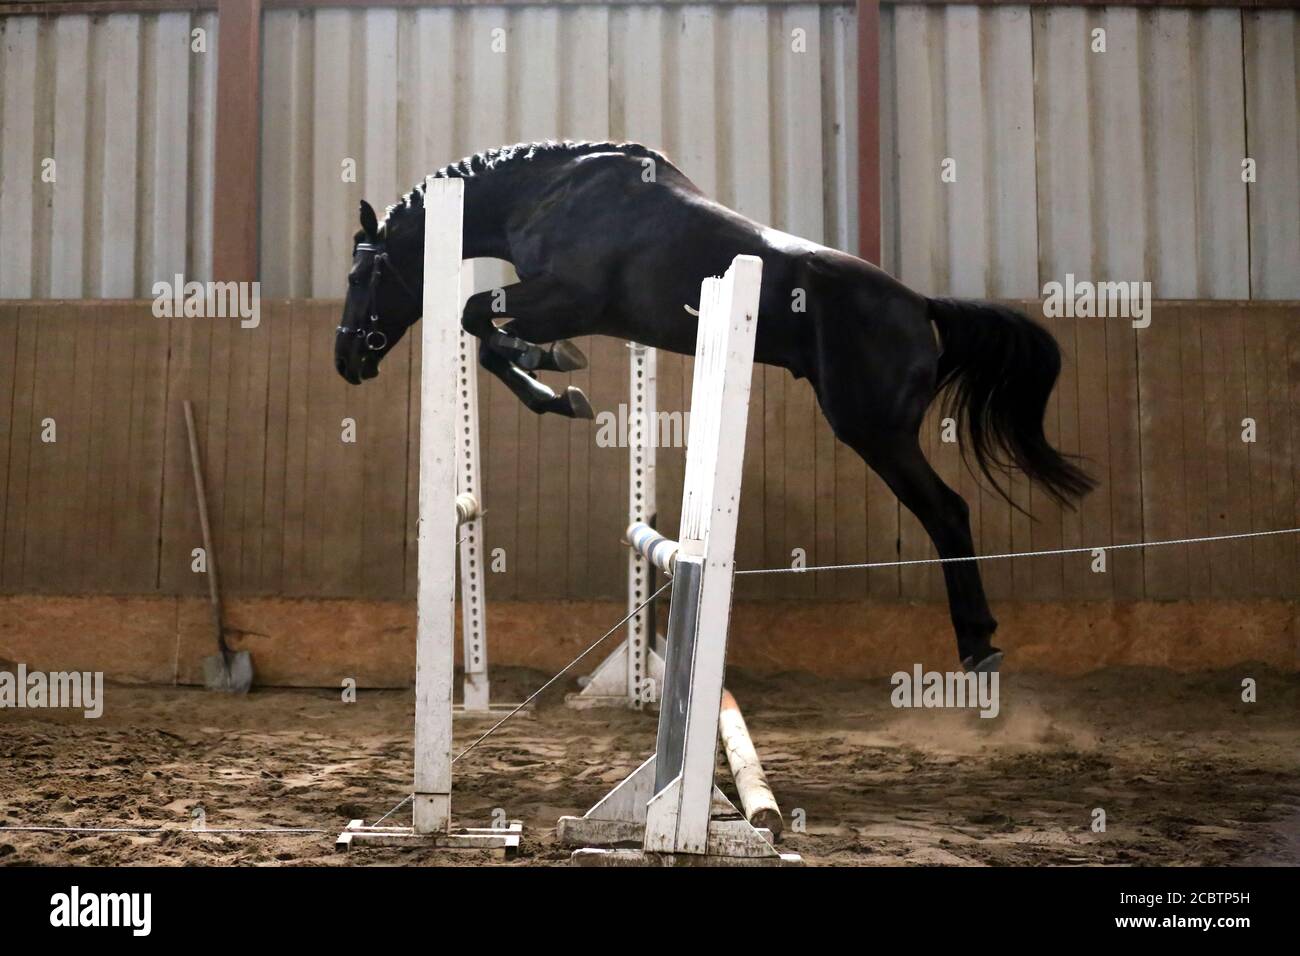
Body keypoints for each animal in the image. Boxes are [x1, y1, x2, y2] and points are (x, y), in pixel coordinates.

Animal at [335, 140, 1094, 672]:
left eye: (360, 274)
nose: (346, 360)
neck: (549, 193)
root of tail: (921, 305)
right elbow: (483, 331)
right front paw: (560, 380)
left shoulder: (567, 299)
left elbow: (476, 320)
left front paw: (556, 379)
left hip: (873, 430)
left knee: (946, 512)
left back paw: (979, 645)